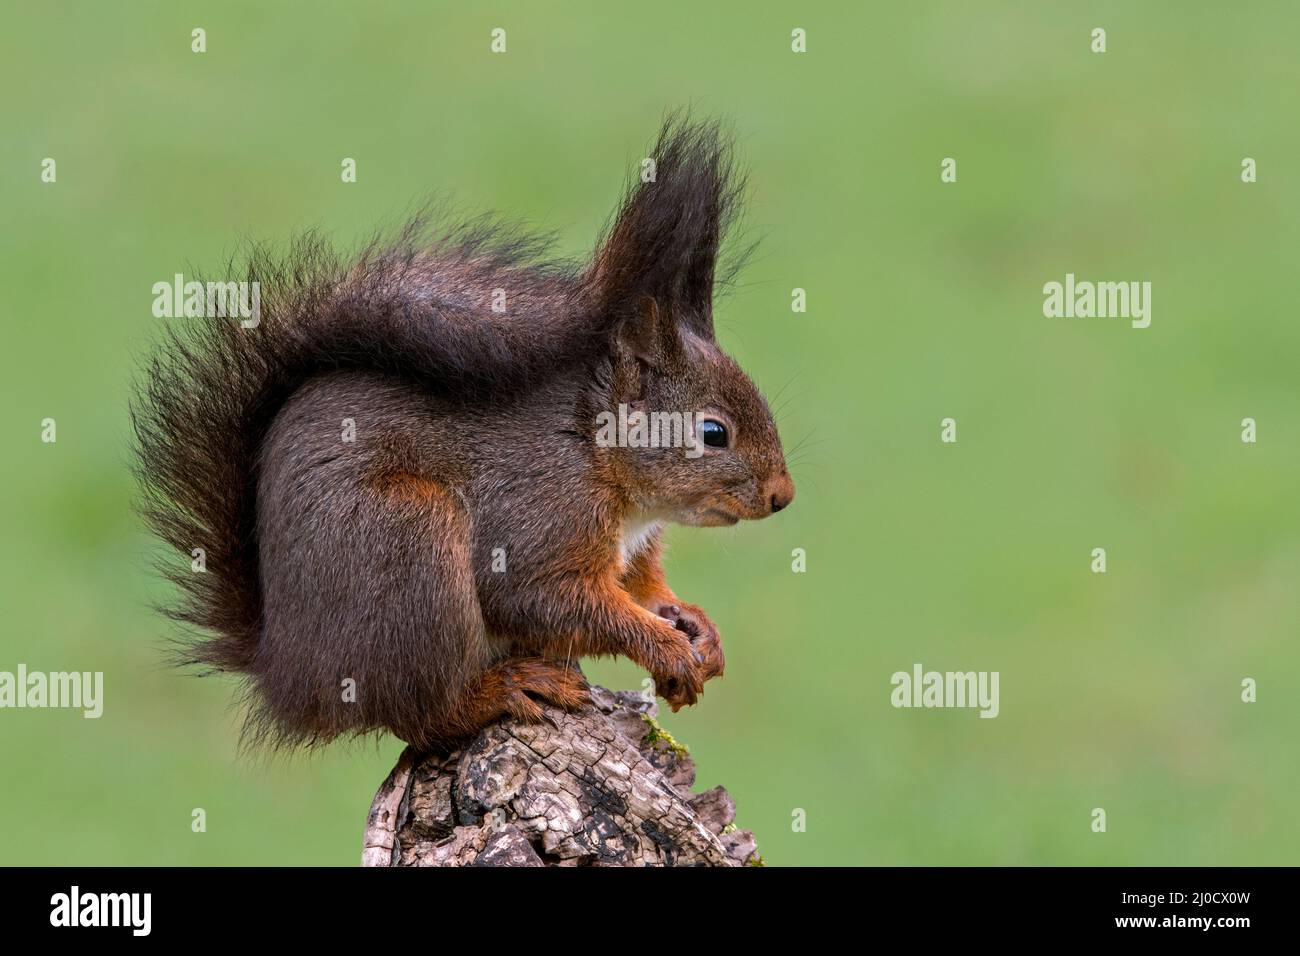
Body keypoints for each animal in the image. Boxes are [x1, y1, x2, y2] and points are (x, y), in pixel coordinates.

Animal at [132, 116, 795, 750]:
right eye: (713, 432)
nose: (781, 496)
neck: (593, 449)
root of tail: (287, 677)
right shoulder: (539, 511)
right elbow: (544, 598)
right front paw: (665, 647)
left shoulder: (630, 548)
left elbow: (641, 586)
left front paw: (696, 628)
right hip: (408, 545)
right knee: (423, 716)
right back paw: (504, 688)